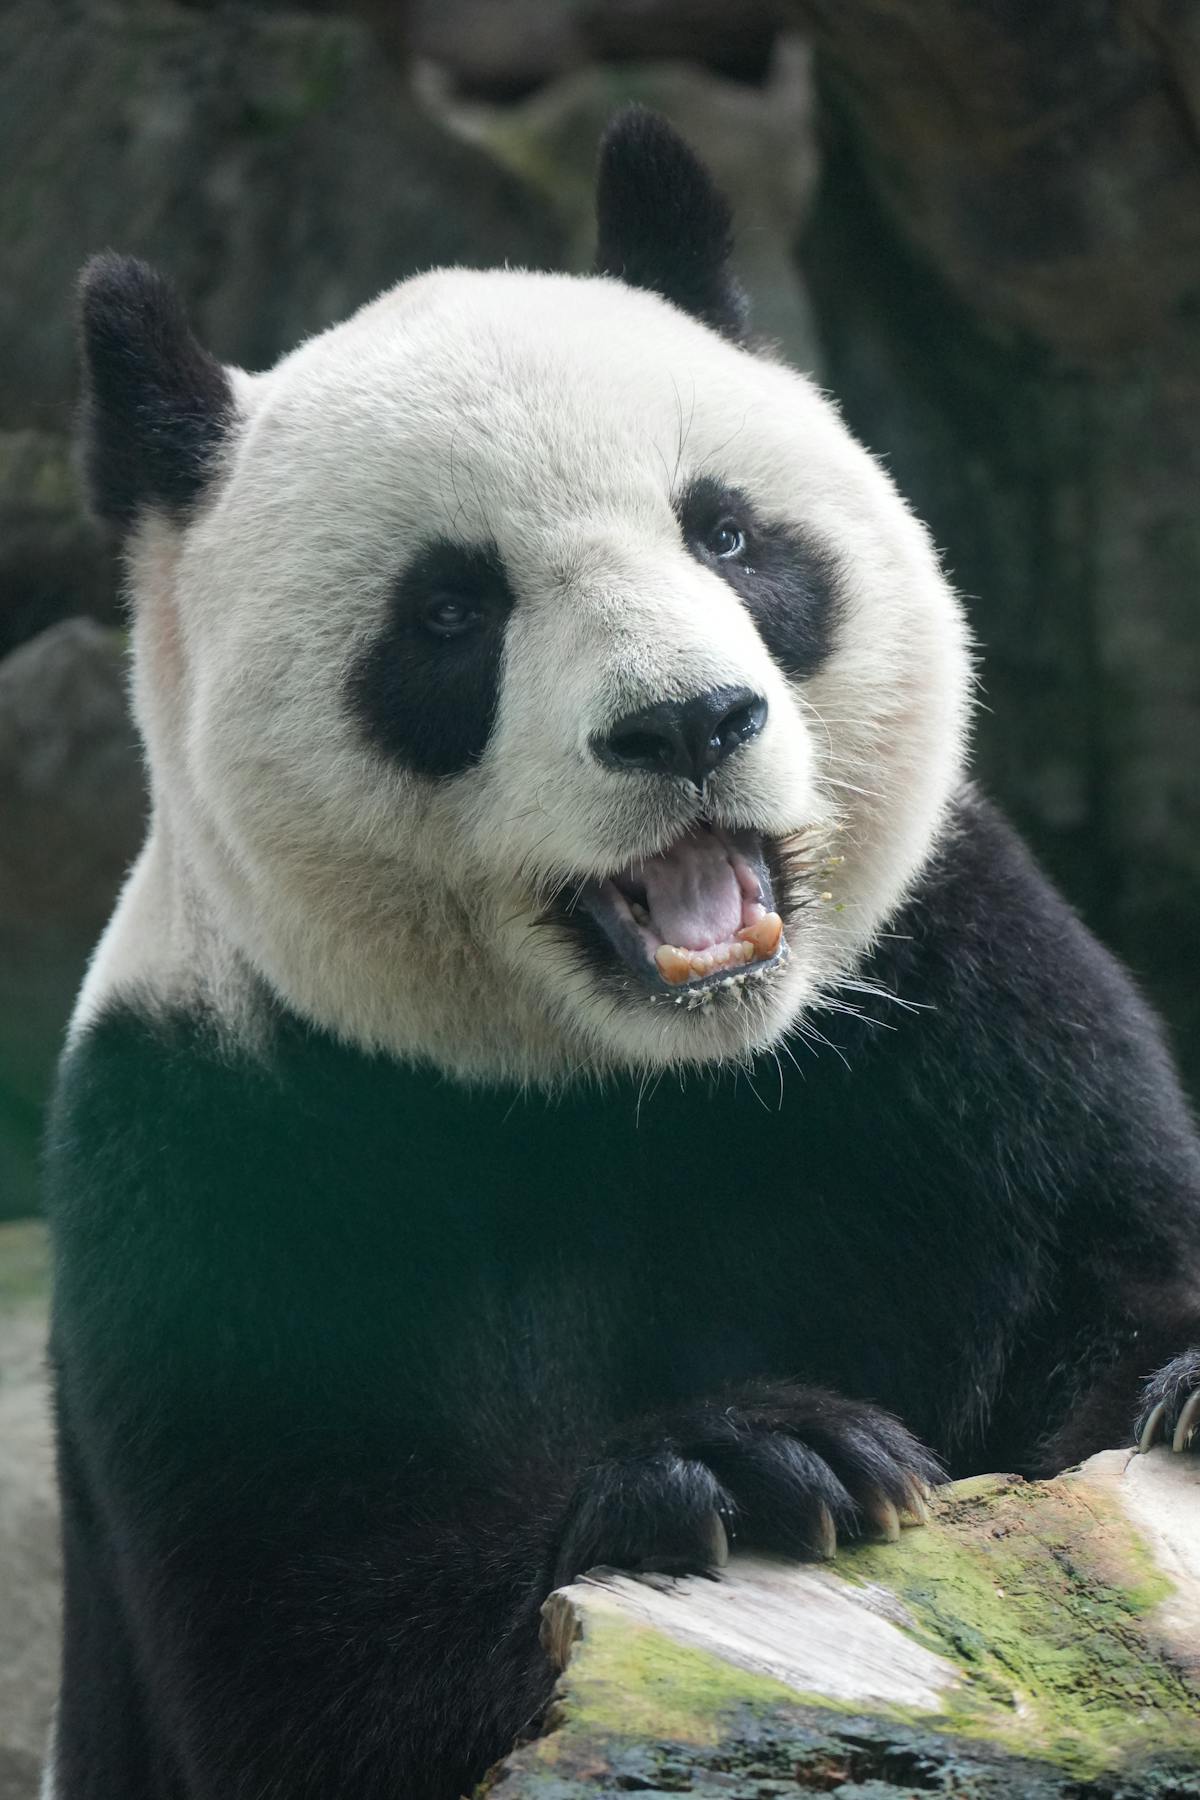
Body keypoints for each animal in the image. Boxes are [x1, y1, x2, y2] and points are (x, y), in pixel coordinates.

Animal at [45, 109, 1200, 1800]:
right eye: (452, 612)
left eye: (726, 532)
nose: (687, 724)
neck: (643, 1079)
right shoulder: (221, 1150)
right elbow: (319, 1666)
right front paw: (755, 1459)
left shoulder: (958, 1008)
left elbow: (1104, 1294)